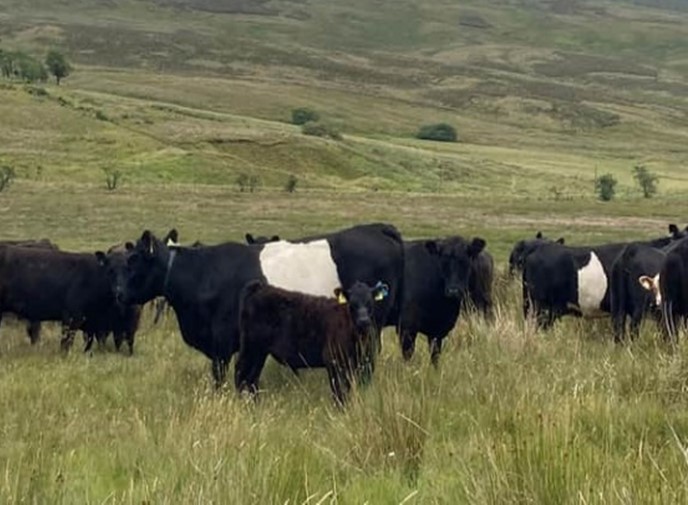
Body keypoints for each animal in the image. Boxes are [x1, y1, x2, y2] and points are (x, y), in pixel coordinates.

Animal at [108, 223, 404, 386]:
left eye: (133, 260)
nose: (118, 294)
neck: (203, 273)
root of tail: (376, 228)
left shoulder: (222, 342)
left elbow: (221, 377)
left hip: (369, 328)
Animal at [235, 280, 388, 404]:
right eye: (352, 304)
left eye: (370, 302)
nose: (363, 321)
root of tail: (259, 287)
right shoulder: (334, 362)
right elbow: (339, 393)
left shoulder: (367, 365)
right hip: (251, 348)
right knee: (241, 375)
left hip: (259, 354)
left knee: (252, 380)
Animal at [392, 236, 486, 366]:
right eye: (443, 261)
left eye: (465, 261)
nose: (453, 291)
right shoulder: (407, 326)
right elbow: (408, 355)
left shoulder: (436, 332)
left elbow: (435, 356)